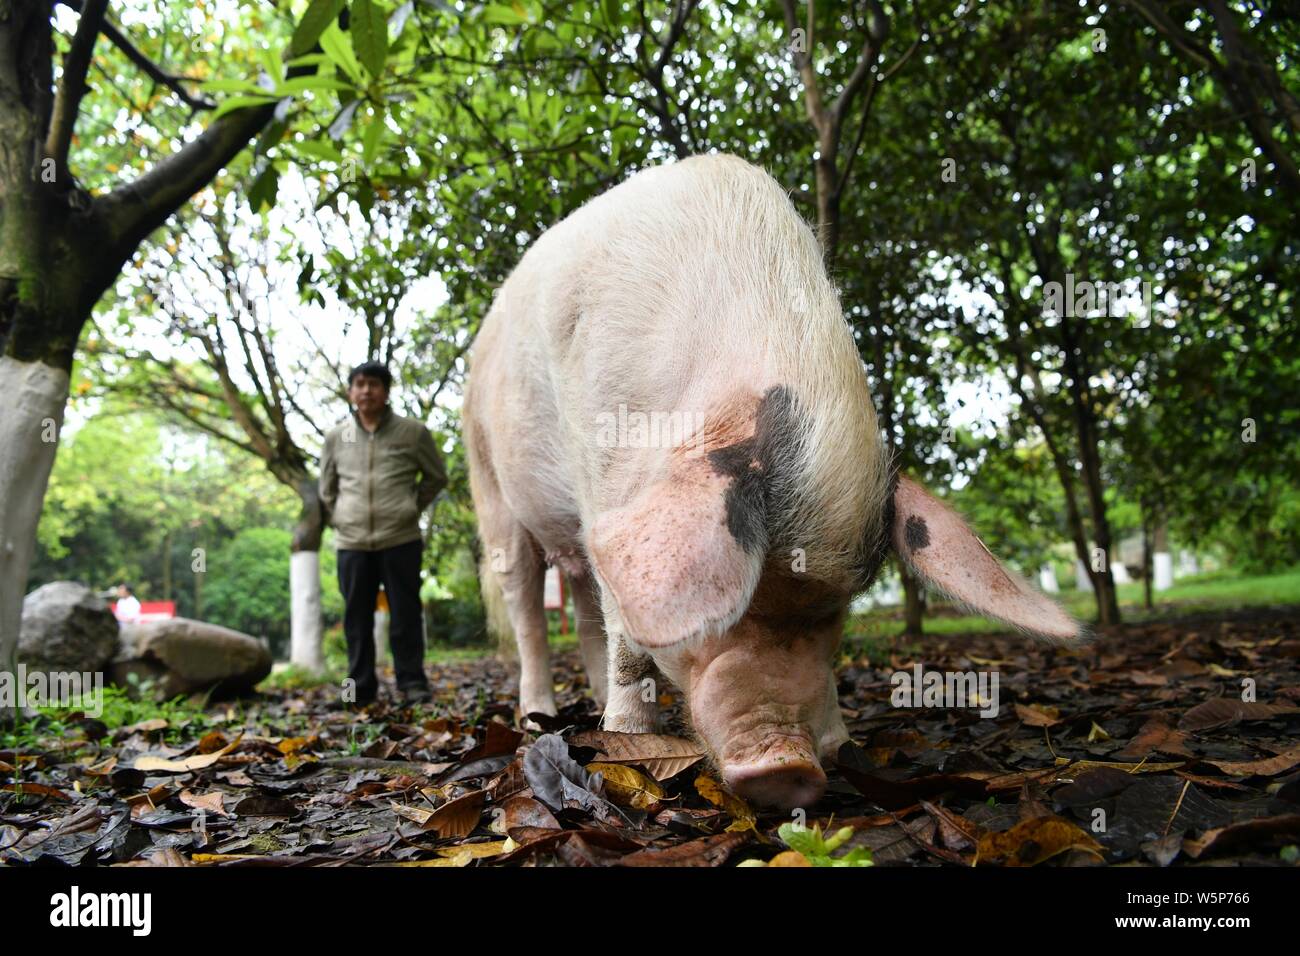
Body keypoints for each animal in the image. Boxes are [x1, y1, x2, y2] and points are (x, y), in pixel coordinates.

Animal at [463, 153, 1082, 811]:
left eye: (835, 614)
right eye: (732, 599)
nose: (791, 767)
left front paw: (841, 746)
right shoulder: (603, 475)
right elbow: (629, 637)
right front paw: (629, 739)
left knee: (581, 597)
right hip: (488, 482)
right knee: (526, 605)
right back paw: (545, 717)